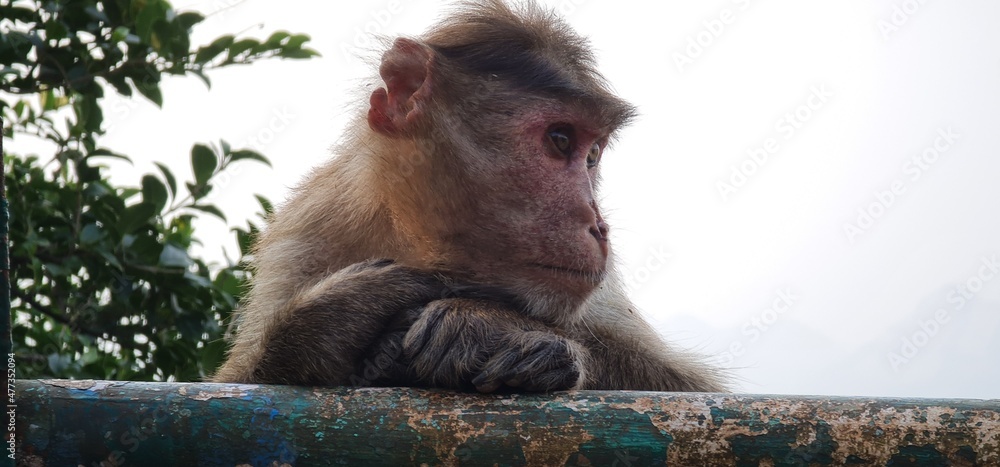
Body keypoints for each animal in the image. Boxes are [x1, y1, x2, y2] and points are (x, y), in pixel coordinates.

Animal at [212, 0, 726, 393]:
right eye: (561, 140)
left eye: (593, 154)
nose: (599, 226)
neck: (418, 240)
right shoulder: (306, 234)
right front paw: (331, 321)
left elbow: (689, 390)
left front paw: (488, 325)